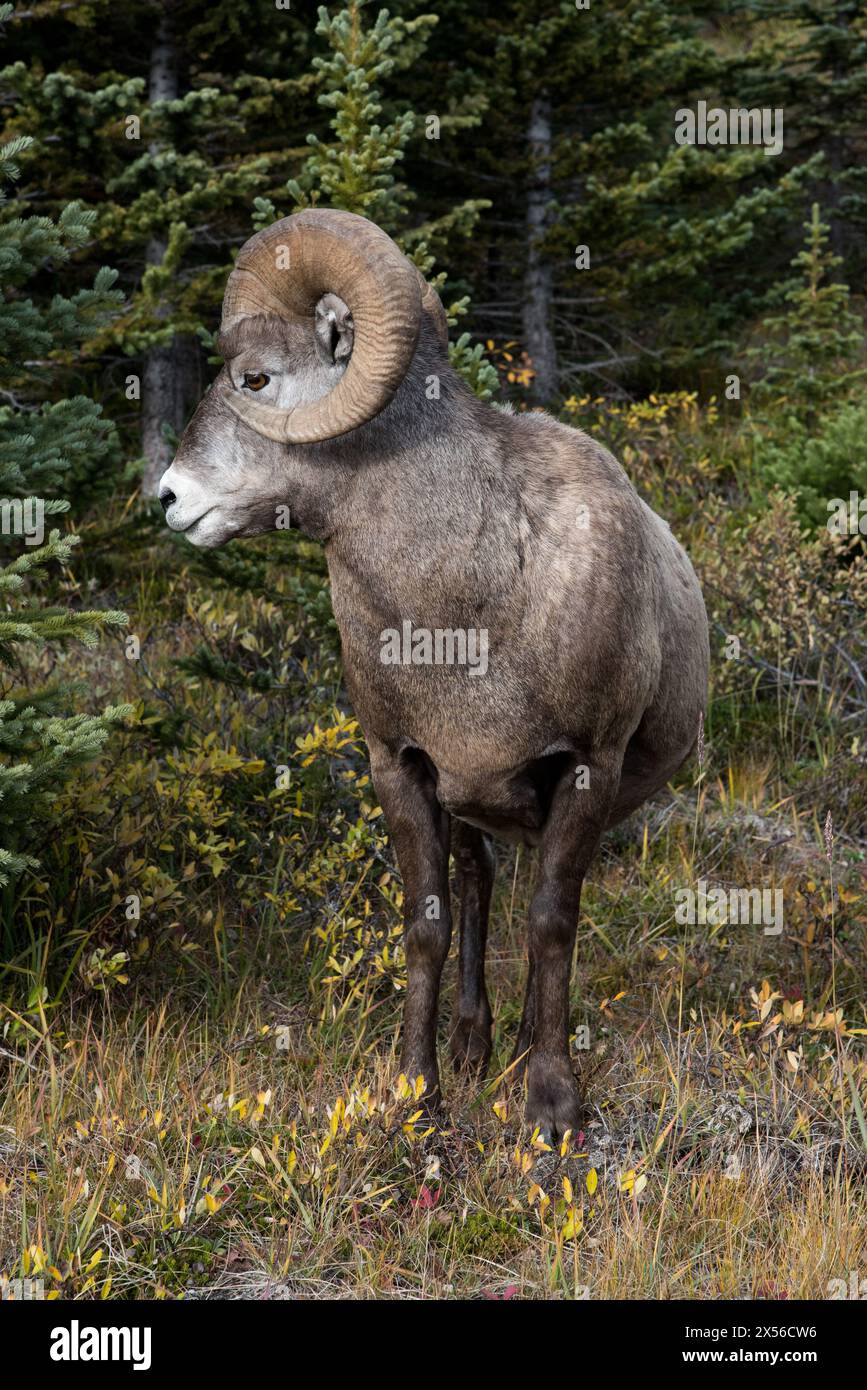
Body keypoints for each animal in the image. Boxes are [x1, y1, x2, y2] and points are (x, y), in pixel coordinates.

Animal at [159, 208, 709, 1141]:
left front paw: (553, 1105)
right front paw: (418, 1093)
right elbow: (429, 924)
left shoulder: (585, 769)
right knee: (479, 887)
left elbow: (551, 922)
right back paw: (473, 1046)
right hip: (470, 804)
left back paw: (520, 1047)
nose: (168, 499)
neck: (465, 612)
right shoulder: (402, 768)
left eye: (255, 377)